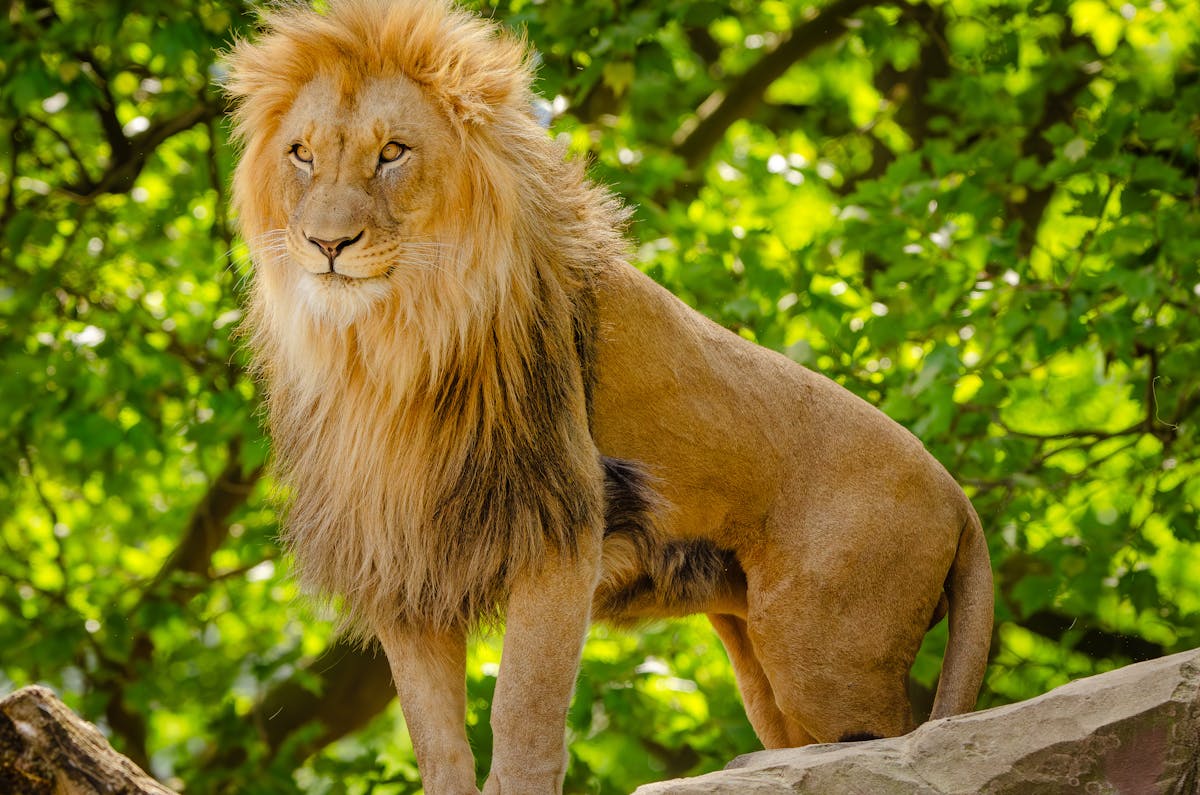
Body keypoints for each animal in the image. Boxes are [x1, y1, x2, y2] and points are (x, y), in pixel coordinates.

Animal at [222, 1, 994, 792]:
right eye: (302, 155)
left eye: (393, 153)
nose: (327, 244)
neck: (389, 346)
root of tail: (958, 497)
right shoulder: (406, 565)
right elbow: (438, 745)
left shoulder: (561, 531)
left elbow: (523, 718)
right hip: (764, 668)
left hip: (828, 660)